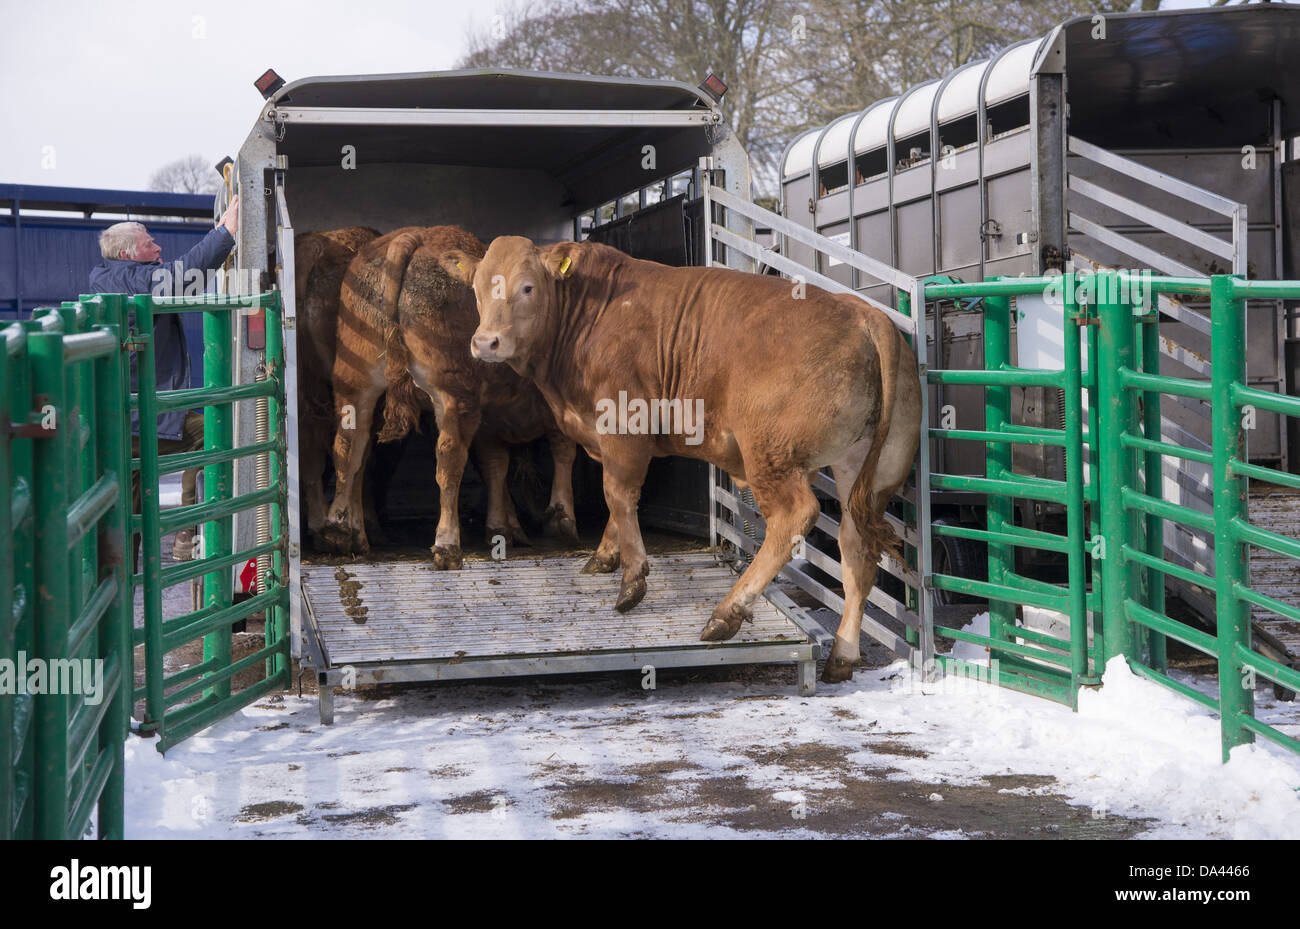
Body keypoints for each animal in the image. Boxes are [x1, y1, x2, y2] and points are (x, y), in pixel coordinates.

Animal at [320, 226, 580, 566]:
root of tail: (412, 237)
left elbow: (496, 466)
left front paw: (505, 527)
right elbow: (562, 450)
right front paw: (562, 519)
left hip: (355, 383)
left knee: (351, 448)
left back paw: (344, 532)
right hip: (453, 396)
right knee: (449, 461)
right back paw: (446, 543)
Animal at [444, 236, 922, 683]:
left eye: (527, 286)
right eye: (476, 288)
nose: (485, 342)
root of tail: (860, 312)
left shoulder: (623, 427)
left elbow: (619, 494)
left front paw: (632, 581)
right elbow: (615, 499)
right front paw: (605, 556)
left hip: (771, 455)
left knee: (794, 518)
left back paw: (725, 615)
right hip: (867, 470)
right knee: (855, 547)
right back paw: (842, 655)